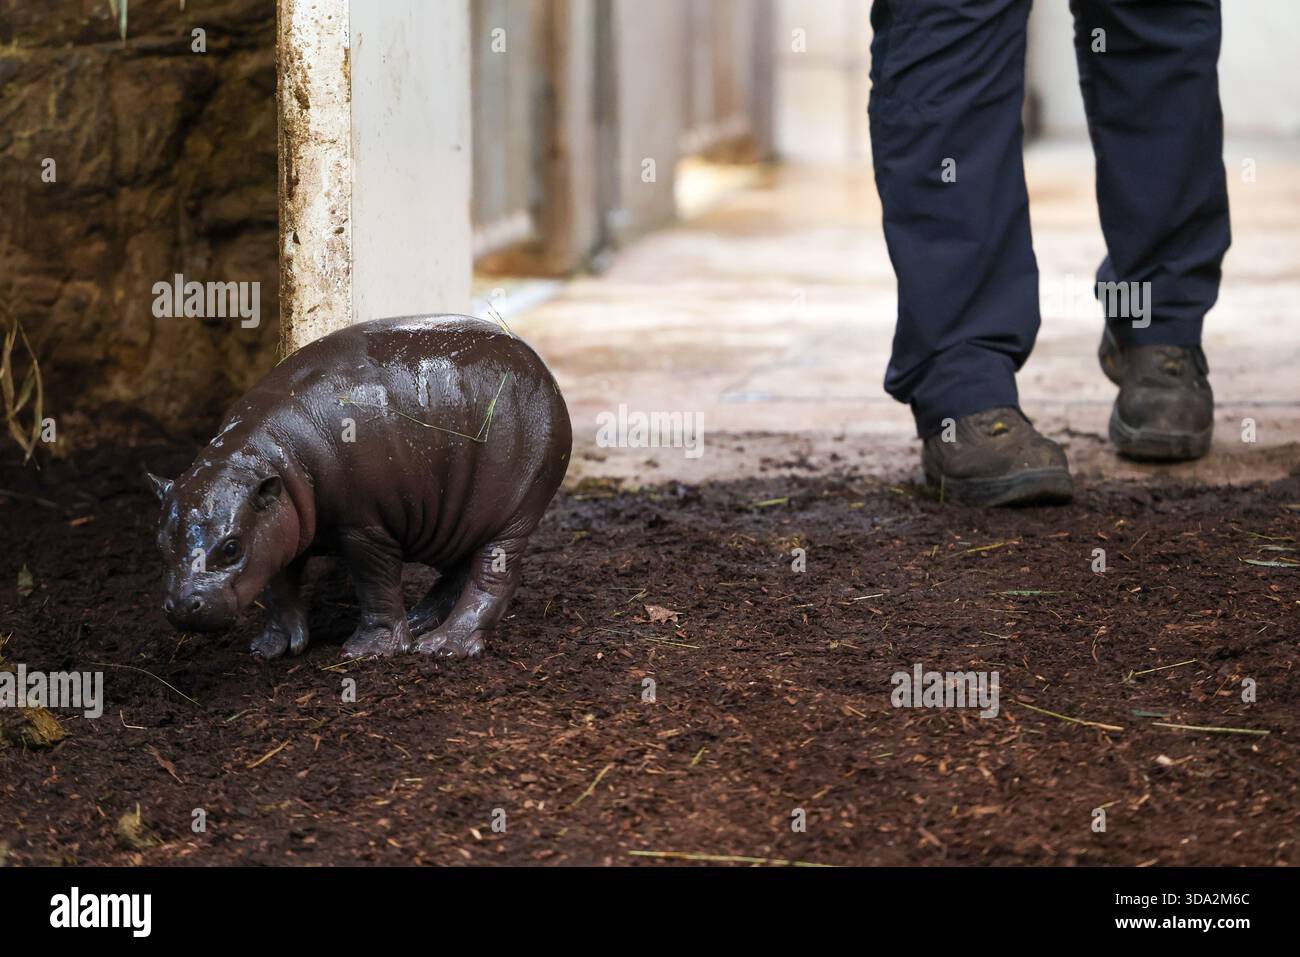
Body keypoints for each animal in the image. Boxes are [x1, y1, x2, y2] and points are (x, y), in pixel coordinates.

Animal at [148, 315, 571, 660]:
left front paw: (367, 651)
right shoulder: (276, 527)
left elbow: (375, 585)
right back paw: (419, 624)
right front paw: (270, 648)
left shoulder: (364, 528)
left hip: (513, 514)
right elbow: (278, 586)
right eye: (161, 542)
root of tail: (543, 370)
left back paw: (443, 646)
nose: (181, 606)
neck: (265, 456)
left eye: (231, 547)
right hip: (460, 519)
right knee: (458, 572)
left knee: (493, 576)